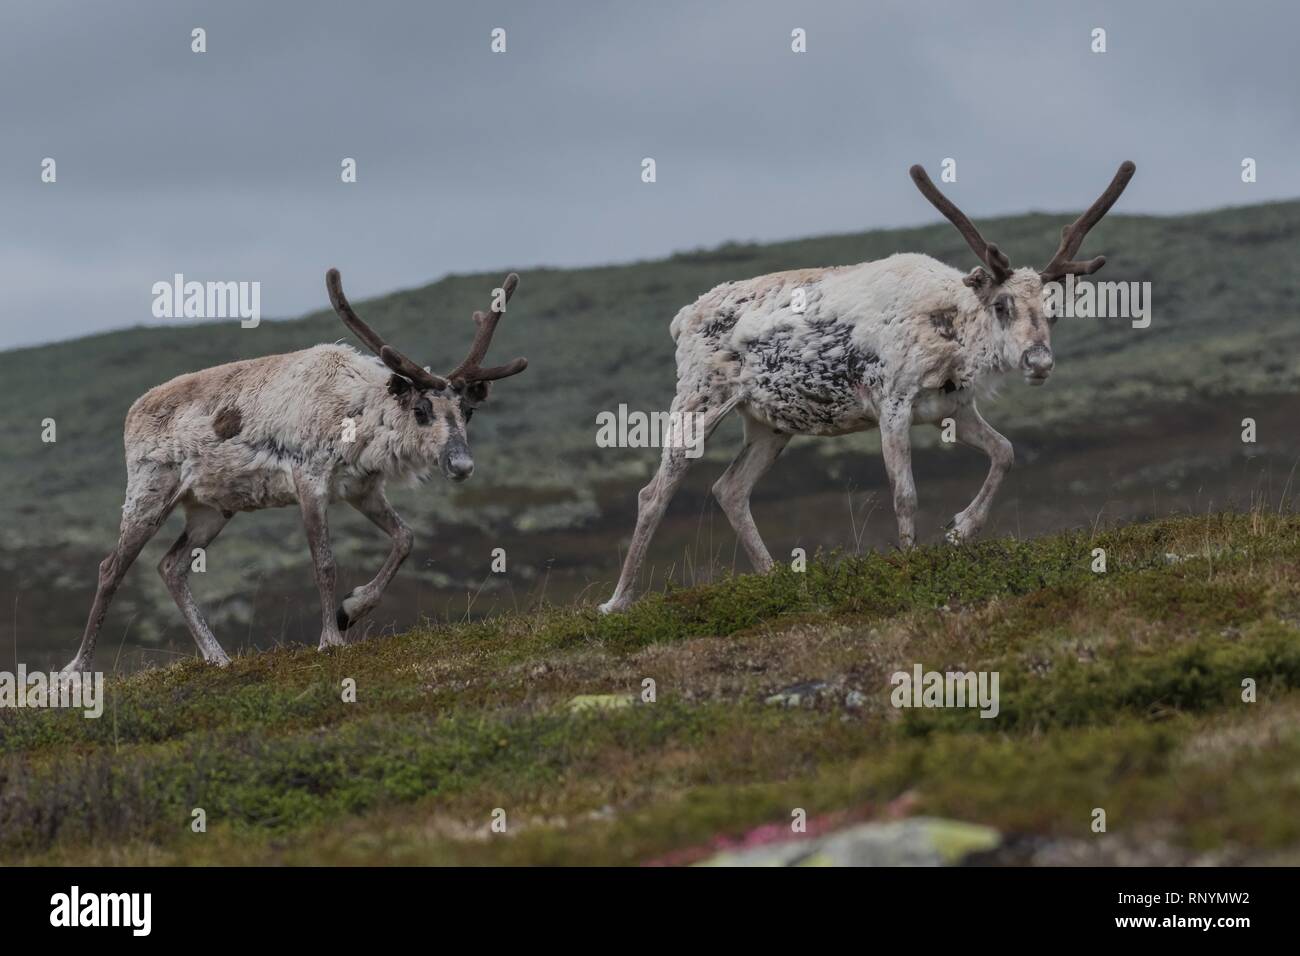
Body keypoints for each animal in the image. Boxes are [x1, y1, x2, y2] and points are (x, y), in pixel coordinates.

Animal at [62, 269, 528, 673]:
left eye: (468, 410)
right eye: (421, 409)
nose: (461, 464)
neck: (355, 414)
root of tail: (132, 411)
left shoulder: (362, 489)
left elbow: (406, 539)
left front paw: (350, 610)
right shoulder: (309, 480)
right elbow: (324, 562)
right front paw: (330, 640)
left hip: (210, 509)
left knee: (170, 568)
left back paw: (218, 657)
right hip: (150, 490)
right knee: (111, 568)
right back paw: (77, 669)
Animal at [600, 161, 1136, 614]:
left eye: (1054, 311)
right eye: (1002, 305)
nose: (1039, 361)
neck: (949, 331)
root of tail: (683, 318)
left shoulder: (952, 409)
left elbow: (1005, 452)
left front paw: (960, 530)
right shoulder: (892, 404)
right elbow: (905, 494)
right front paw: (911, 565)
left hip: (770, 423)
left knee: (729, 488)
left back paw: (777, 580)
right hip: (699, 398)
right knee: (654, 491)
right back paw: (618, 601)